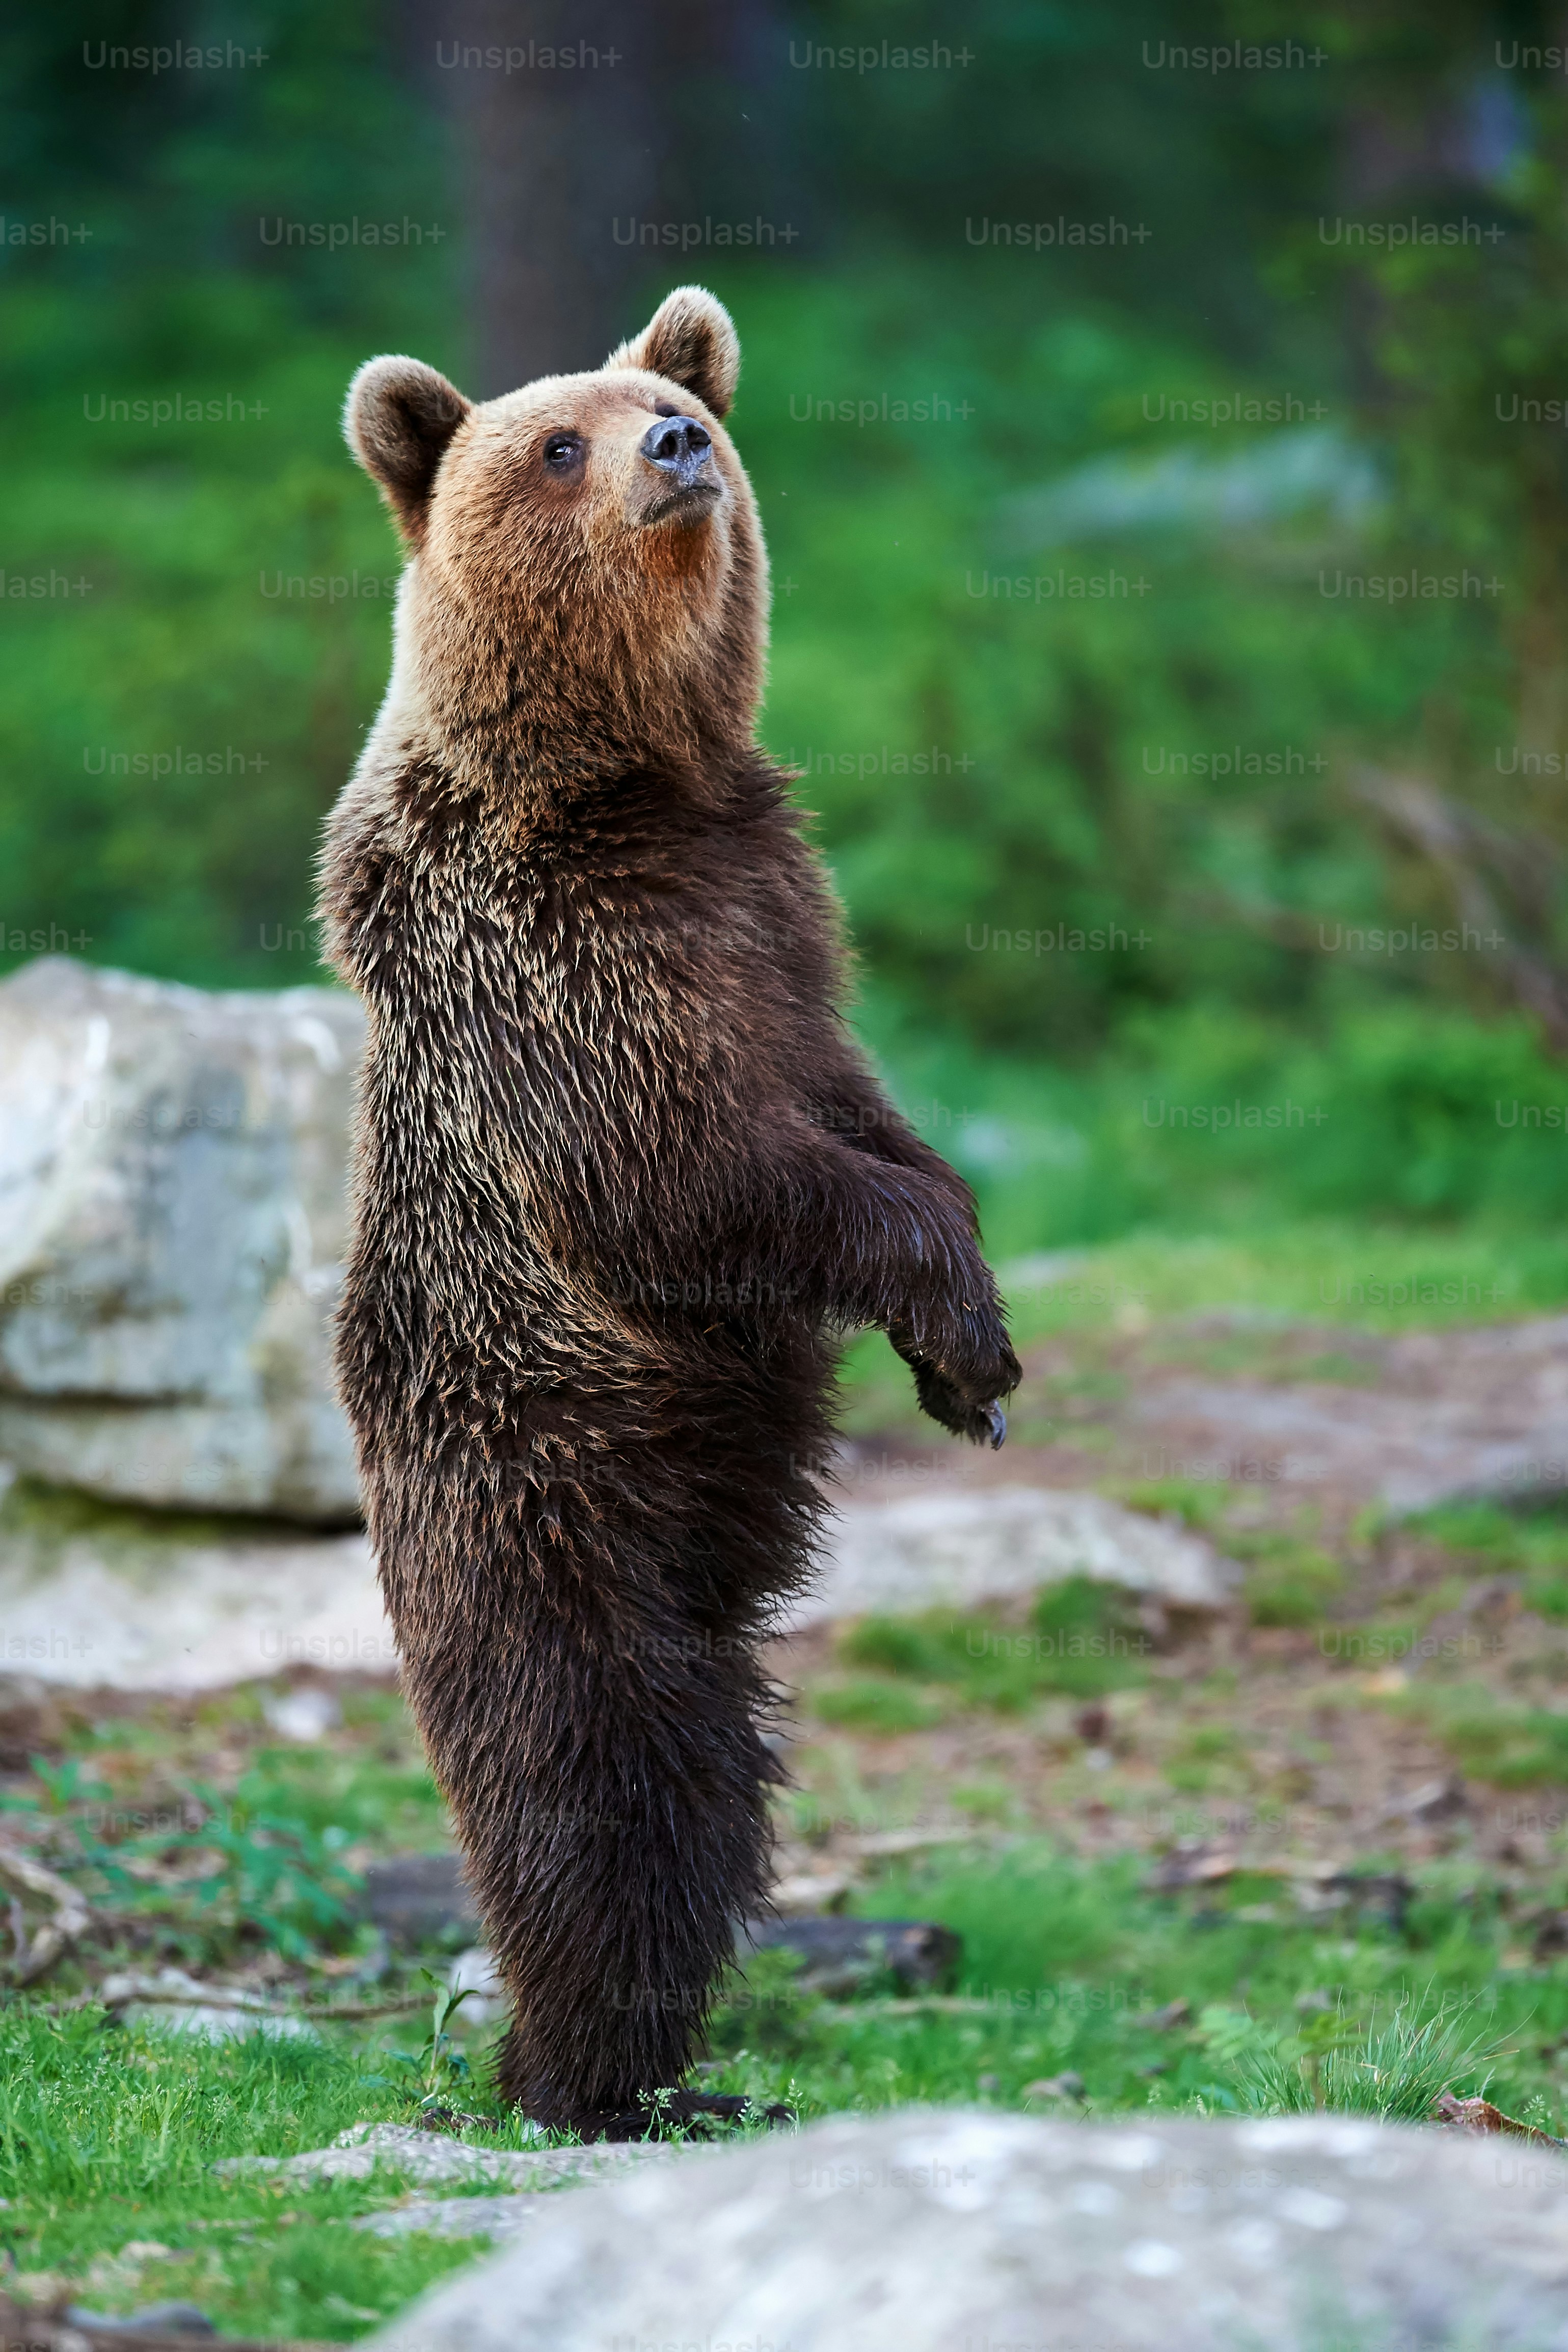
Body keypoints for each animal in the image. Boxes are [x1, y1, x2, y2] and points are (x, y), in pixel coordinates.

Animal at [317, 286, 1020, 2139]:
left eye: (662, 394)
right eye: (558, 441)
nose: (676, 444)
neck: (633, 780)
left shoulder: (776, 917)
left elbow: (870, 1115)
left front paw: (971, 1352)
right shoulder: (558, 978)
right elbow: (695, 1179)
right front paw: (957, 1328)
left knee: (713, 1790)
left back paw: (668, 2074)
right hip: (547, 1494)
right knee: (599, 1782)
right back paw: (574, 2072)